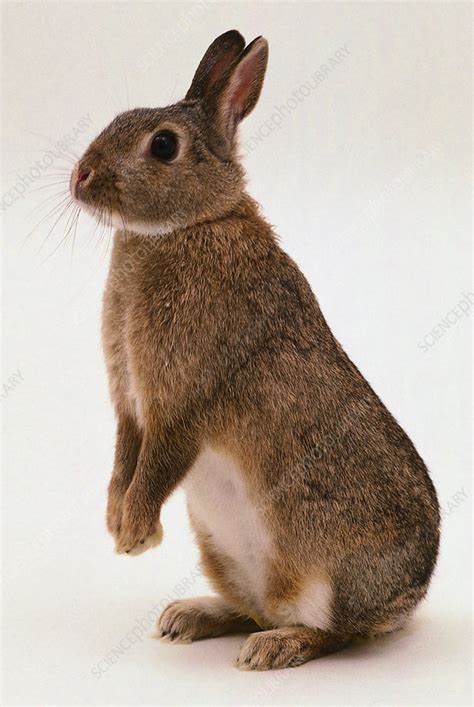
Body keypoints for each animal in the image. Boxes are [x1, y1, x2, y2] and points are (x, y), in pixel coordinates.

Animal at [70, 30, 440, 670]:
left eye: (163, 145)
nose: (80, 177)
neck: (191, 223)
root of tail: (408, 598)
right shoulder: (130, 403)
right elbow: (124, 457)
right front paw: (118, 524)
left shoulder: (182, 398)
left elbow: (159, 459)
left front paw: (136, 535)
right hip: (223, 551)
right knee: (255, 608)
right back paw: (189, 617)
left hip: (332, 574)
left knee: (334, 632)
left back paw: (273, 648)